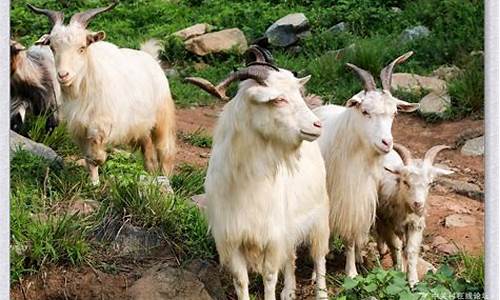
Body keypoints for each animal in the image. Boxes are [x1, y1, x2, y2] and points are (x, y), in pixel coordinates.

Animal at [27, 2, 176, 185]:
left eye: (82, 48)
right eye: (53, 48)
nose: (63, 75)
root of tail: (151, 59)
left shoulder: (100, 125)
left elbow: (95, 155)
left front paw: (99, 167)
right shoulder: (79, 129)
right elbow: (88, 158)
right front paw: (94, 184)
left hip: (162, 119)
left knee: (165, 150)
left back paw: (165, 179)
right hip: (143, 127)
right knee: (148, 153)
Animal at [186, 47, 330, 300]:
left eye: (297, 93)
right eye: (279, 99)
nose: (316, 126)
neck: (246, 183)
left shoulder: (271, 238)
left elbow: (269, 278)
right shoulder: (232, 238)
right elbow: (240, 280)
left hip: (320, 215)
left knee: (319, 256)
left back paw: (321, 293)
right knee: (291, 255)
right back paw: (289, 291)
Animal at [314, 52, 420, 278]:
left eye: (395, 113)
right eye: (365, 111)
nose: (386, 143)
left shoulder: (358, 197)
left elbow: (352, 236)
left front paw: (352, 269)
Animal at [376, 143, 454, 286]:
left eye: (430, 183)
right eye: (405, 182)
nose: (418, 204)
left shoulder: (416, 224)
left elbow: (411, 250)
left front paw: (413, 281)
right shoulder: (388, 222)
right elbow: (395, 247)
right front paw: (398, 271)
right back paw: (381, 249)